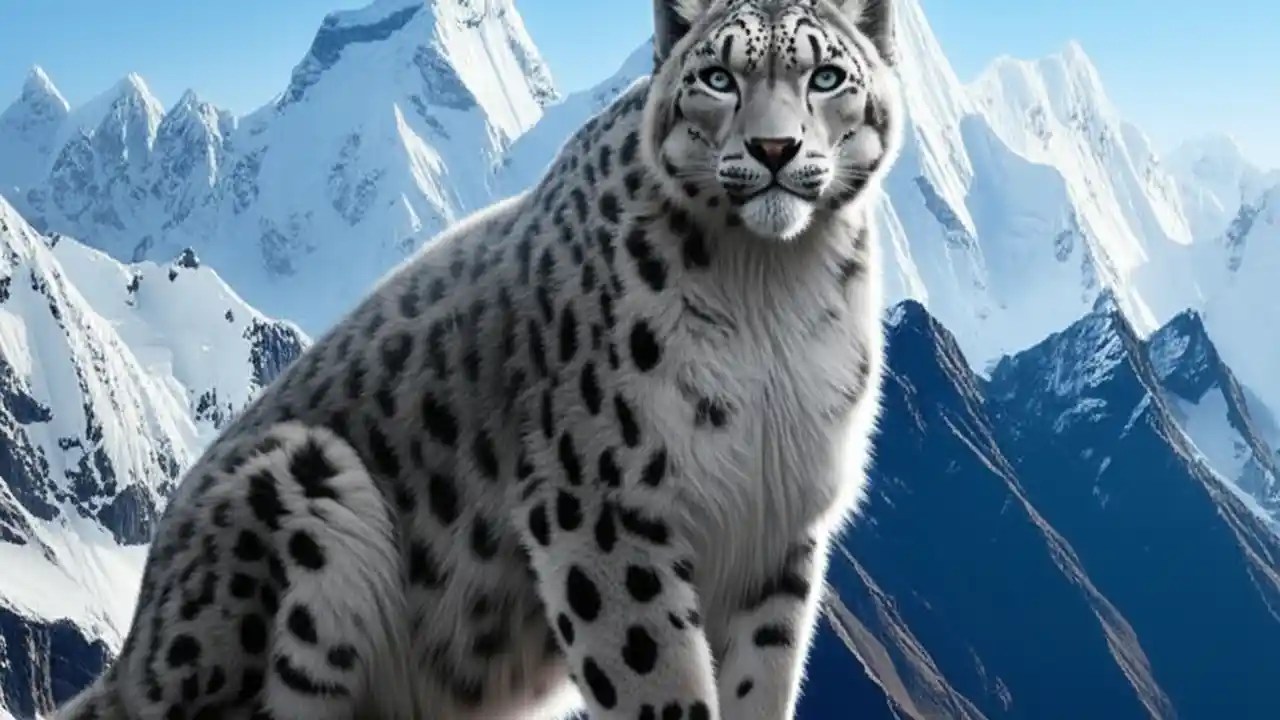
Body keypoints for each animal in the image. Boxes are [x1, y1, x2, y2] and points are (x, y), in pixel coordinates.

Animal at [53, 0, 903, 718]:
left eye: (826, 76)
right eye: (718, 77)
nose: (774, 148)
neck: (772, 296)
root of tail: (131, 654)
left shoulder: (778, 528)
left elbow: (761, 677)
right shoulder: (602, 506)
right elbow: (652, 674)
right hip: (292, 503)